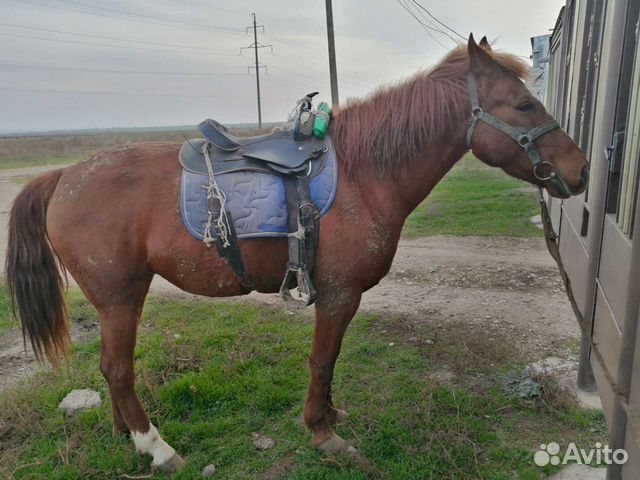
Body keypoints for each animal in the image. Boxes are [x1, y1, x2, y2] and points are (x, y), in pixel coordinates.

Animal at [5, 35, 589, 473]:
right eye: (524, 105)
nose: (581, 170)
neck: (364, 172)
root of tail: (64, 177)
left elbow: (330, 362)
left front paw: (331, 415)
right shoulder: (339, 293)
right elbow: (323, 358)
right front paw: (322, 433)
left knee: (112, 371)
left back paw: (126, 433)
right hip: (120, 297)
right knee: (118, 369)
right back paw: (157, 447)